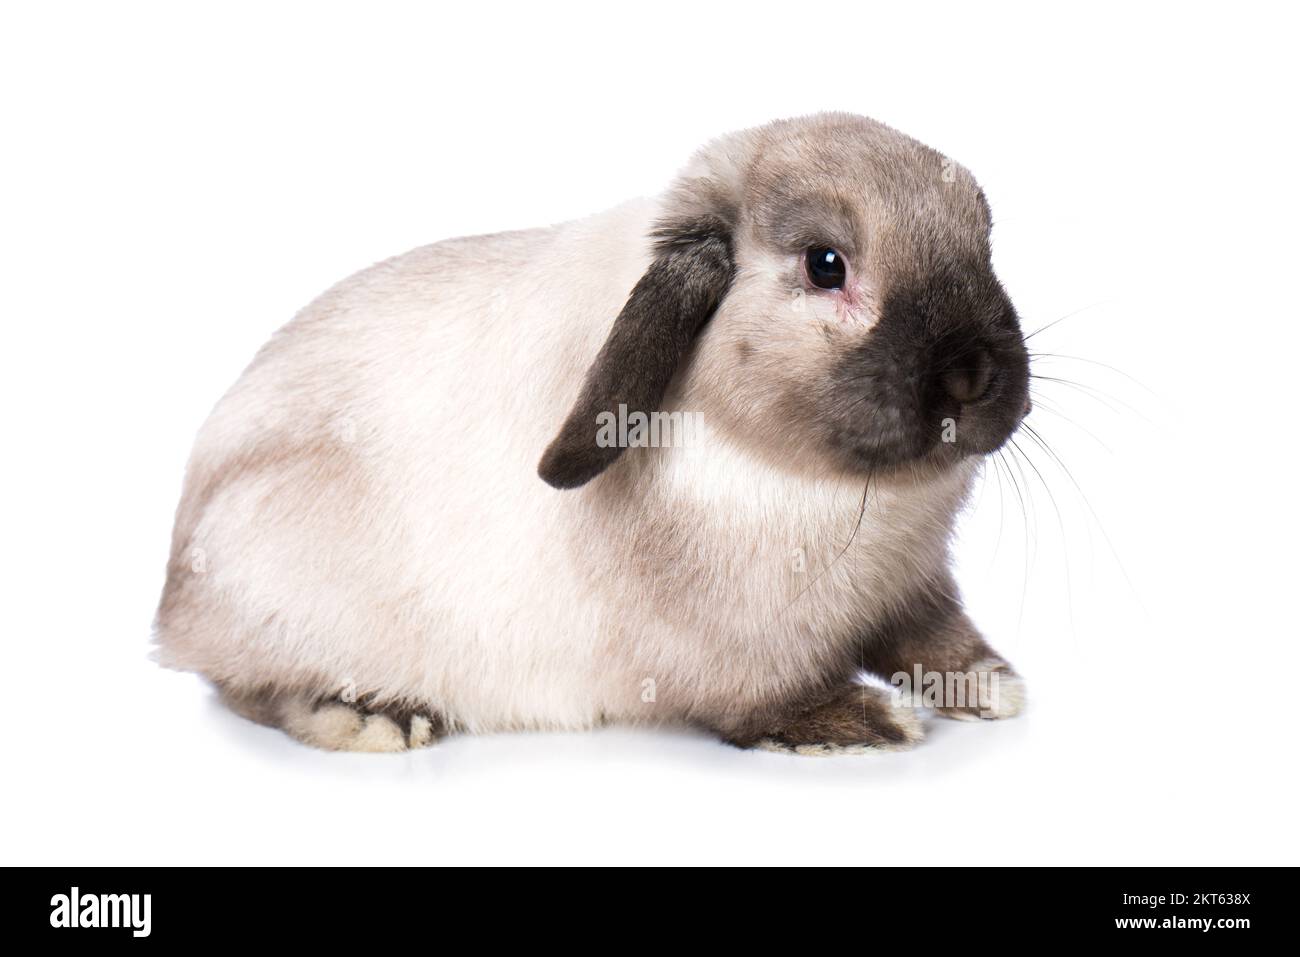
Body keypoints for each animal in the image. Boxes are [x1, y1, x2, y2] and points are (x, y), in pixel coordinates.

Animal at [154, 112, 1031, 754]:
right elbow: (763, 700)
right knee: (251, 688)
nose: (973, 377)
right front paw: (863, 720)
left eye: (986, 246)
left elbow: (936, 639)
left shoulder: (915, 588)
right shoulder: (742, 651)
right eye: (825, 264)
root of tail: (175, 598)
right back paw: (373, 715)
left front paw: (991, 686)